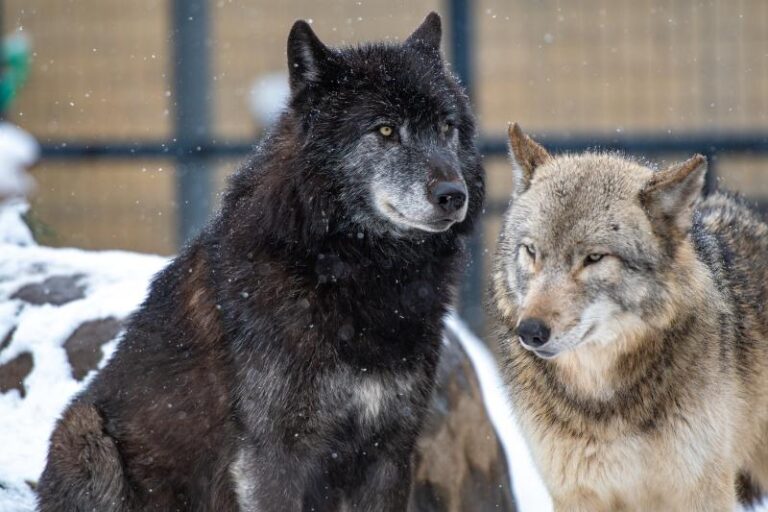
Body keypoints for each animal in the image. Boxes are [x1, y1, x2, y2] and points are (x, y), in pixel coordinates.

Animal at [37, 13, 484, 512]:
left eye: (446, 127)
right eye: (386, 130)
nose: (454, 195)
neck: (356, 271)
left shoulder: (389, 451)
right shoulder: (274, 453)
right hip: (81, 432)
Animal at [490, 124, 768, 511]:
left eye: (594, 258)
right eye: (531, 251)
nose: (529, 331)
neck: (605, 405)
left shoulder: (701, 490)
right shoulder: (577, 494)